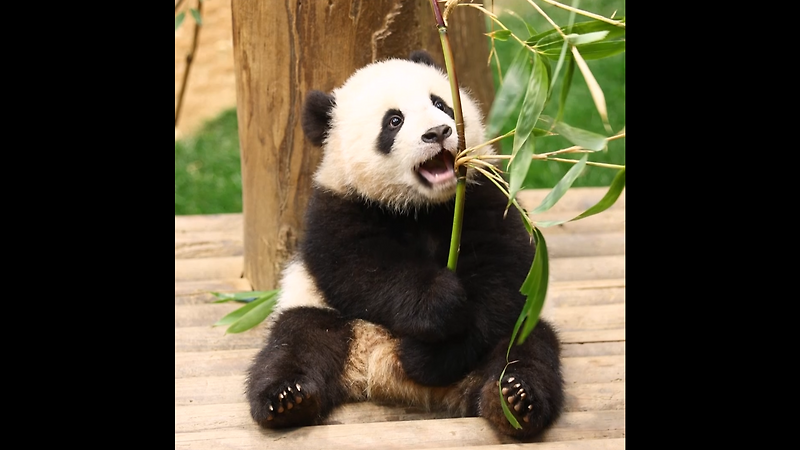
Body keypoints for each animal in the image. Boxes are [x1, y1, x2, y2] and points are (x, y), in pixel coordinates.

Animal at [245, 50, 564, 439]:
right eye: (394, 121)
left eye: (440, 103)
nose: (438, 132)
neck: (420, 207)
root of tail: (377, 370)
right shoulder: (335, 209)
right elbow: (362, 270)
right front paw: (438, 301)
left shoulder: (487, 193)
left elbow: (503, 271)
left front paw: (431, 357)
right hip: (319, 310)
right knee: (296, 342)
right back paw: (287, 400)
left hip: (524, 322)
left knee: (525, 350)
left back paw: (514, 401)